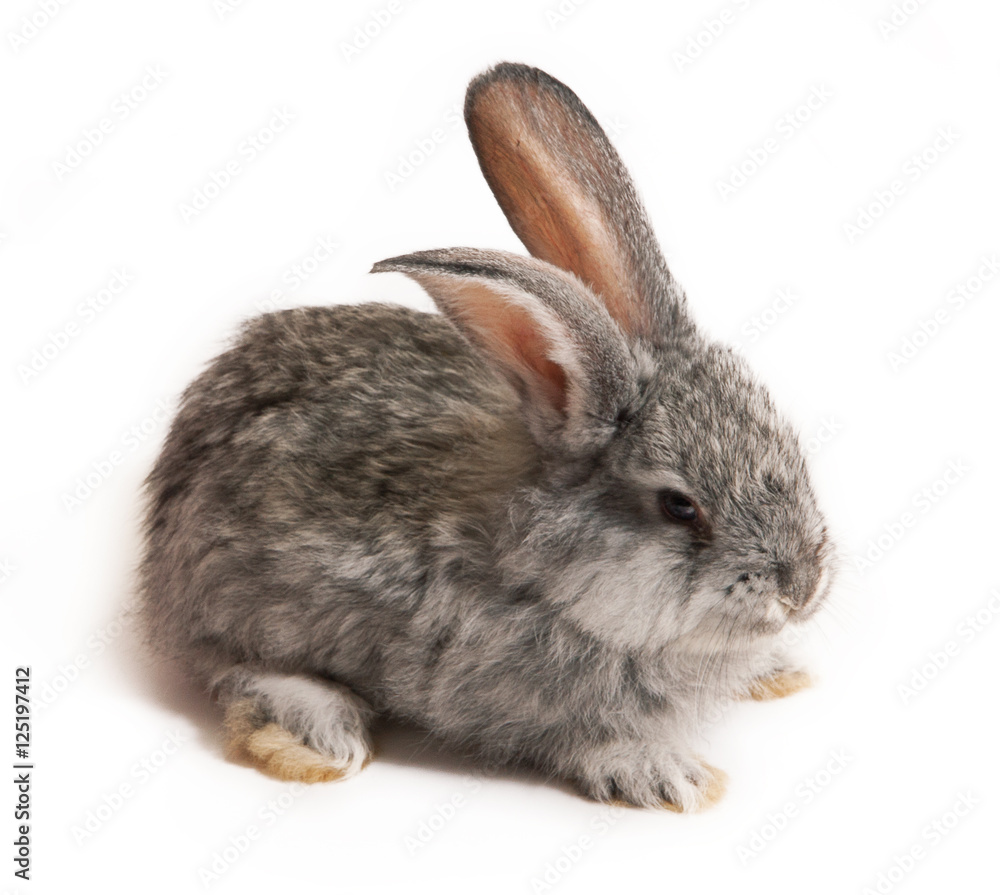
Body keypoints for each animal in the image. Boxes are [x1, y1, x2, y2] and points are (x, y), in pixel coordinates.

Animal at [139, 61, 833, 812]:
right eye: (680, 507)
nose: (801, 589)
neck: (542, 577)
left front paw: (779, 668)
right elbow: (579, 736)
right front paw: (670, 775)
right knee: (231, 665)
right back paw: (320, 737)